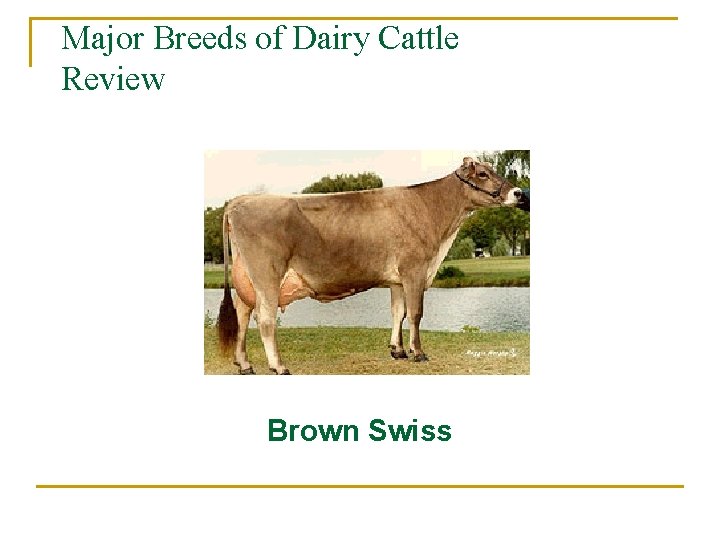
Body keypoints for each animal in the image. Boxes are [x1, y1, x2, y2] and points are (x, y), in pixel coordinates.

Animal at [217, 157, 529, 374]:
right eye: (483, 174)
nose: (518, 193)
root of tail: (240, 200)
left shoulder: (397, 279)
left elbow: (398, 313)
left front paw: (397, 350)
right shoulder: (415, 271)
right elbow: (416, 314)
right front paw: (418, 353)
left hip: (247, 277)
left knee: (243, 313)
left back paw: (244, 363)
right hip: (267, 274)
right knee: (265, 319)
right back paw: (278, 366)